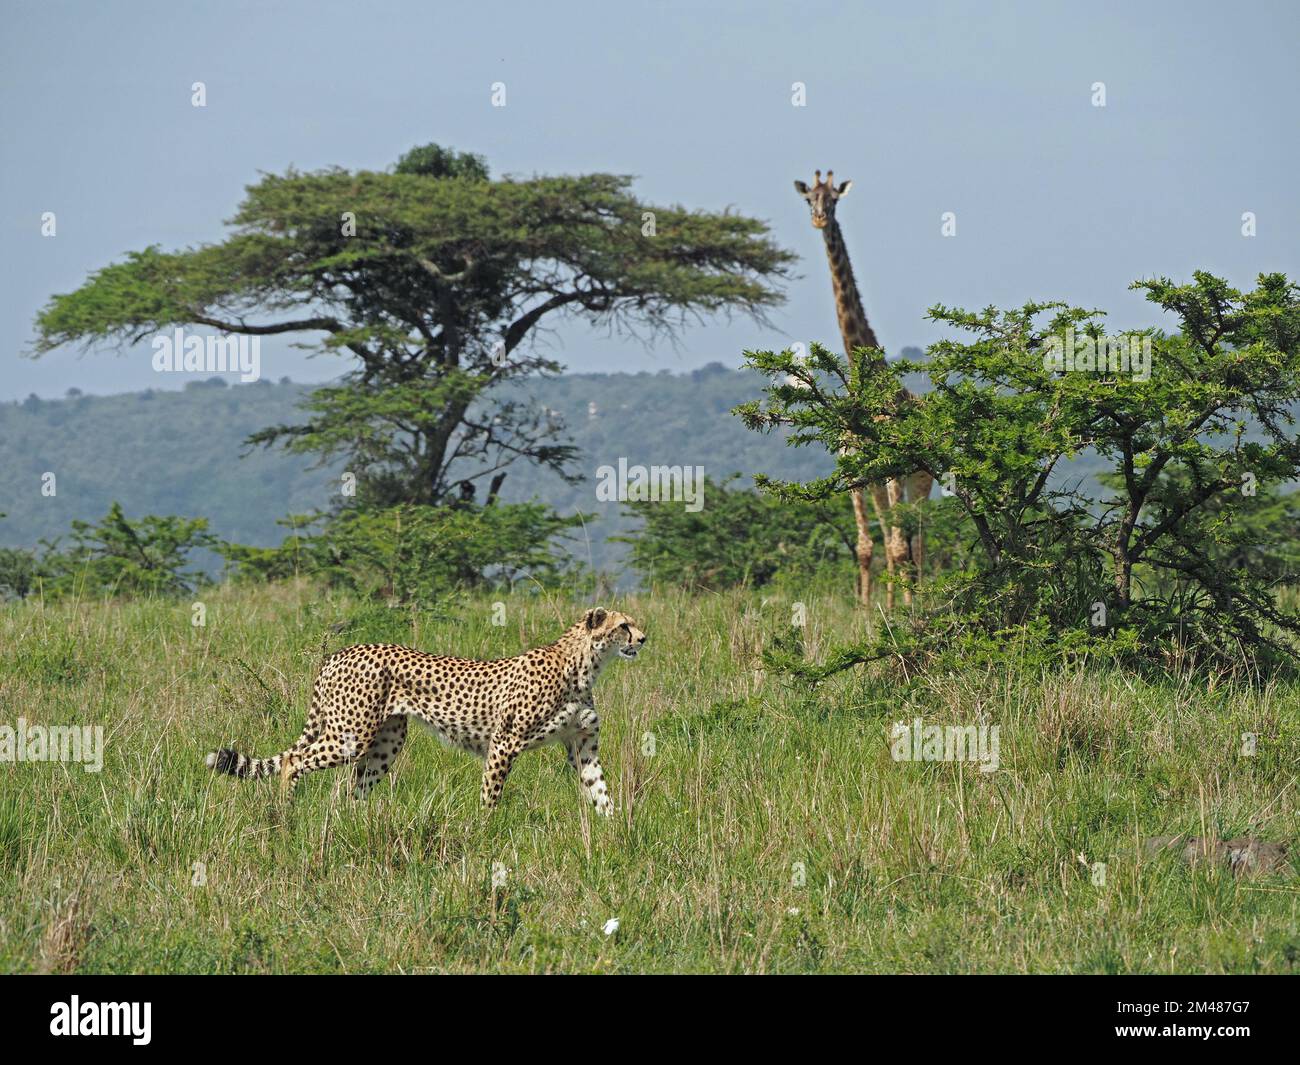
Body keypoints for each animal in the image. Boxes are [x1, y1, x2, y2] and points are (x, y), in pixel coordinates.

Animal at [205, 607, 647, 815]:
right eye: (622, 626)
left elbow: (600, 792)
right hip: (352, 734)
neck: (584, 665)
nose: (643, 638)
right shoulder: (504, 743)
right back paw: (285, 811)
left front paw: (614, 834)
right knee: (293, 760)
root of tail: (340, 652)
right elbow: (491, 796)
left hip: (386, 739)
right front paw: (486, 833)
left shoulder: (581, 746)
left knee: (350, 789)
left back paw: (352, 823)